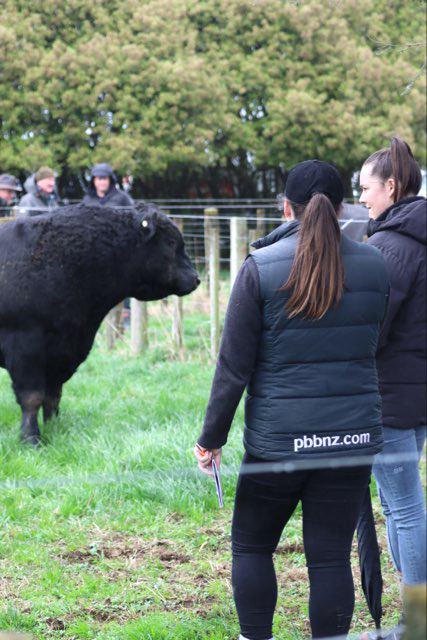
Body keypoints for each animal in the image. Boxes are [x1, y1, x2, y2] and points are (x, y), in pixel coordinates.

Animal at [0, 203, 199, 445]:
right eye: (170, 243)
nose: (196, 278)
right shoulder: (25, 346)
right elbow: (32, 397)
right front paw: (31, 439)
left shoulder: (62, 351)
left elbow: (53, 396)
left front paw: (55, 428)